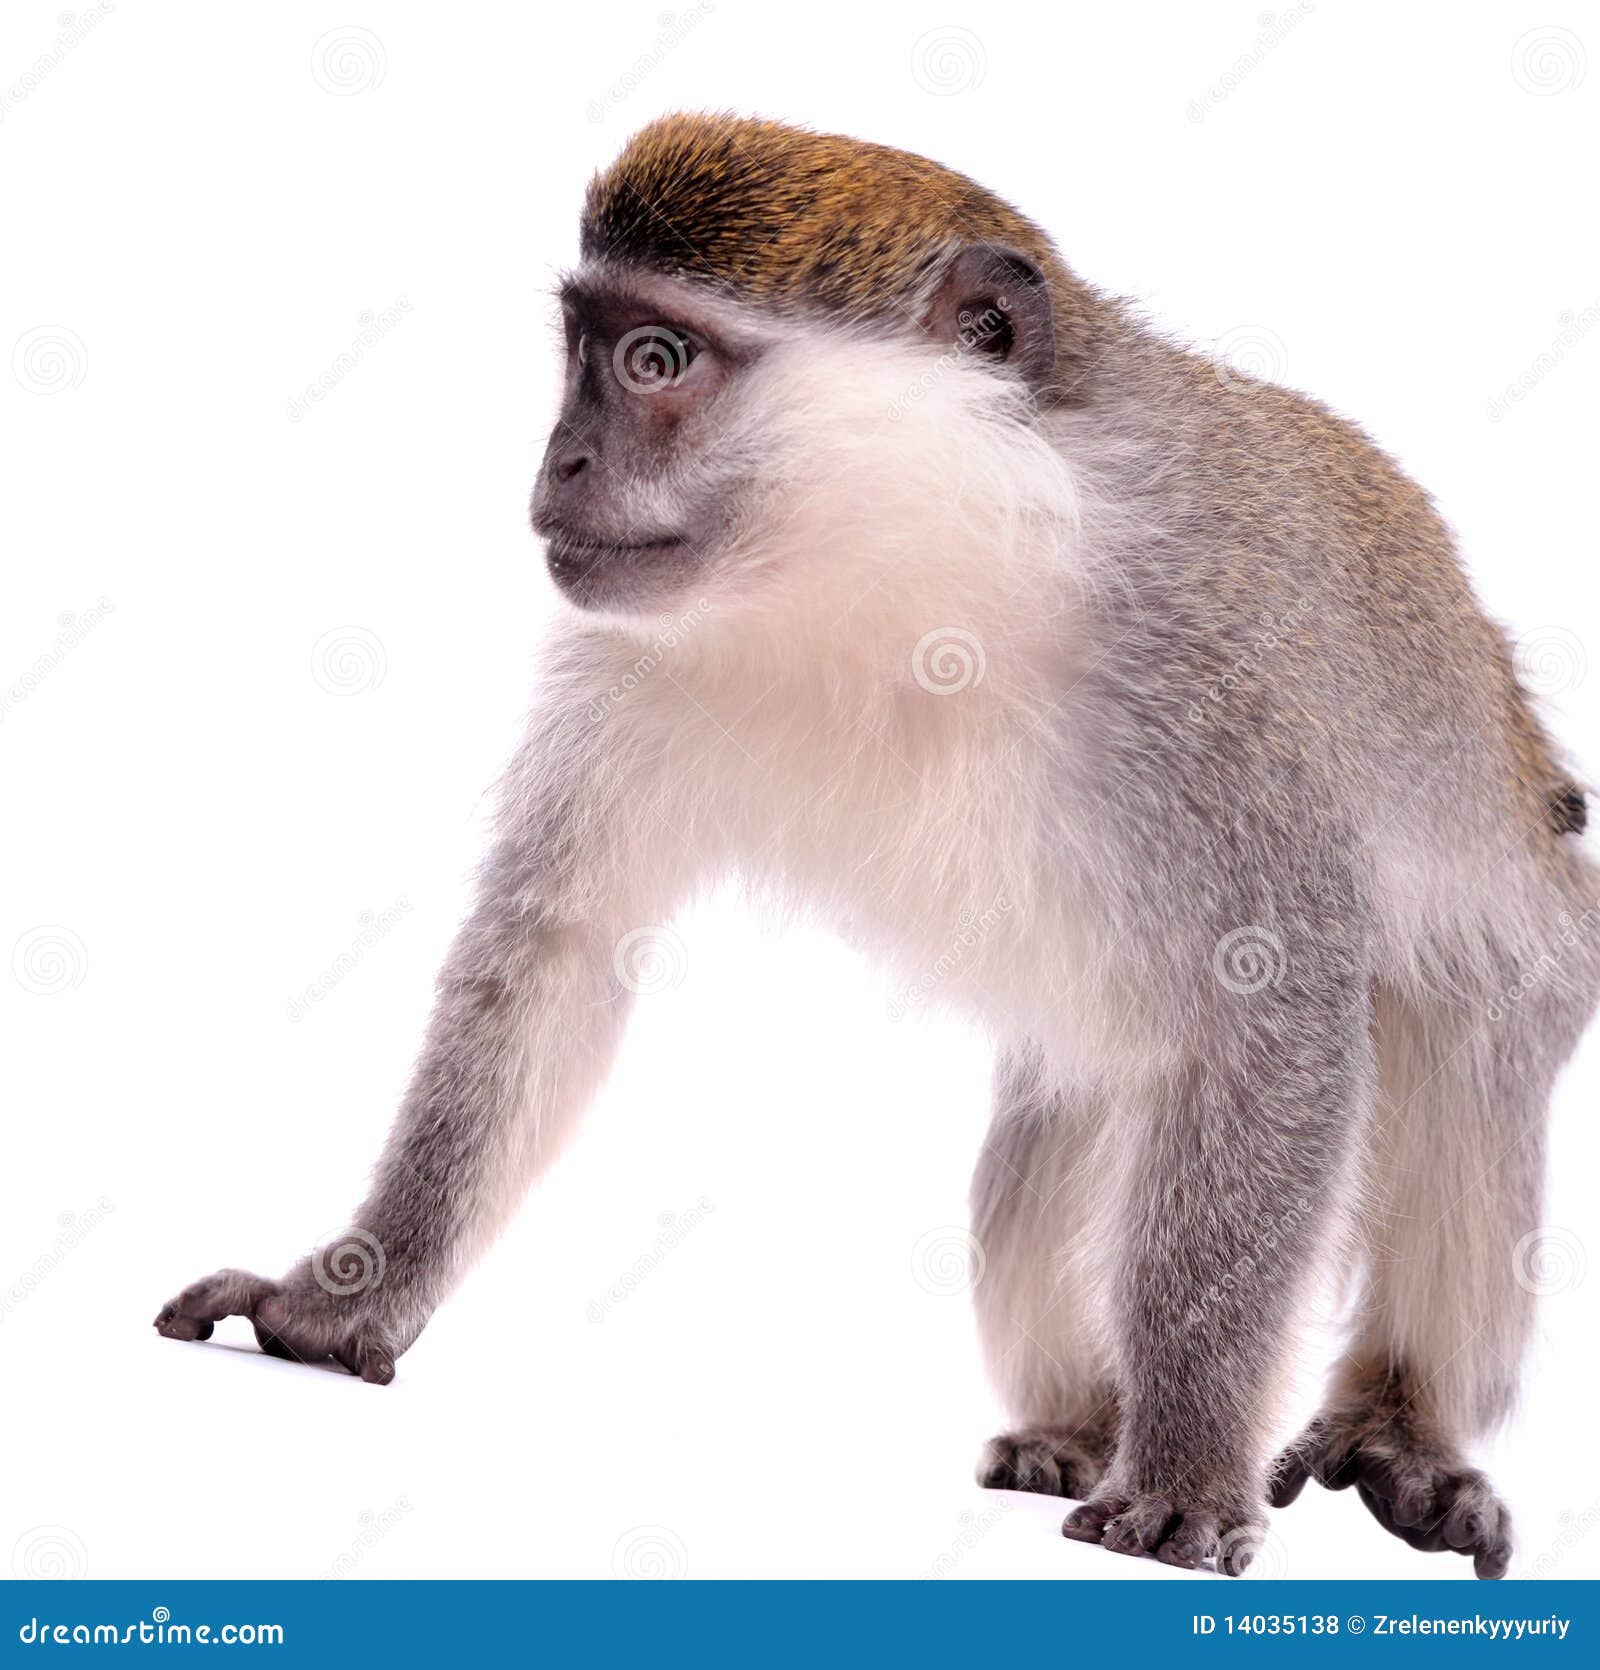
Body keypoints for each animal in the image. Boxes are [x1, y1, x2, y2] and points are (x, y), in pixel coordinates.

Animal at [154, 114, 1598, 1580]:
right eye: (584, 352)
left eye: (657, 361)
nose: (555, 467)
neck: (919, 576)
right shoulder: (636, 658)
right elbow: (558, 947)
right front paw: (352, 1293)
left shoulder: (1203, 688)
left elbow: (1274, 1020)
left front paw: (1191, 1458)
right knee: (1040, 1167)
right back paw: (1079, 1420)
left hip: (1530, 946)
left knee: (1465, 1064)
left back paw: (1400, 1429)